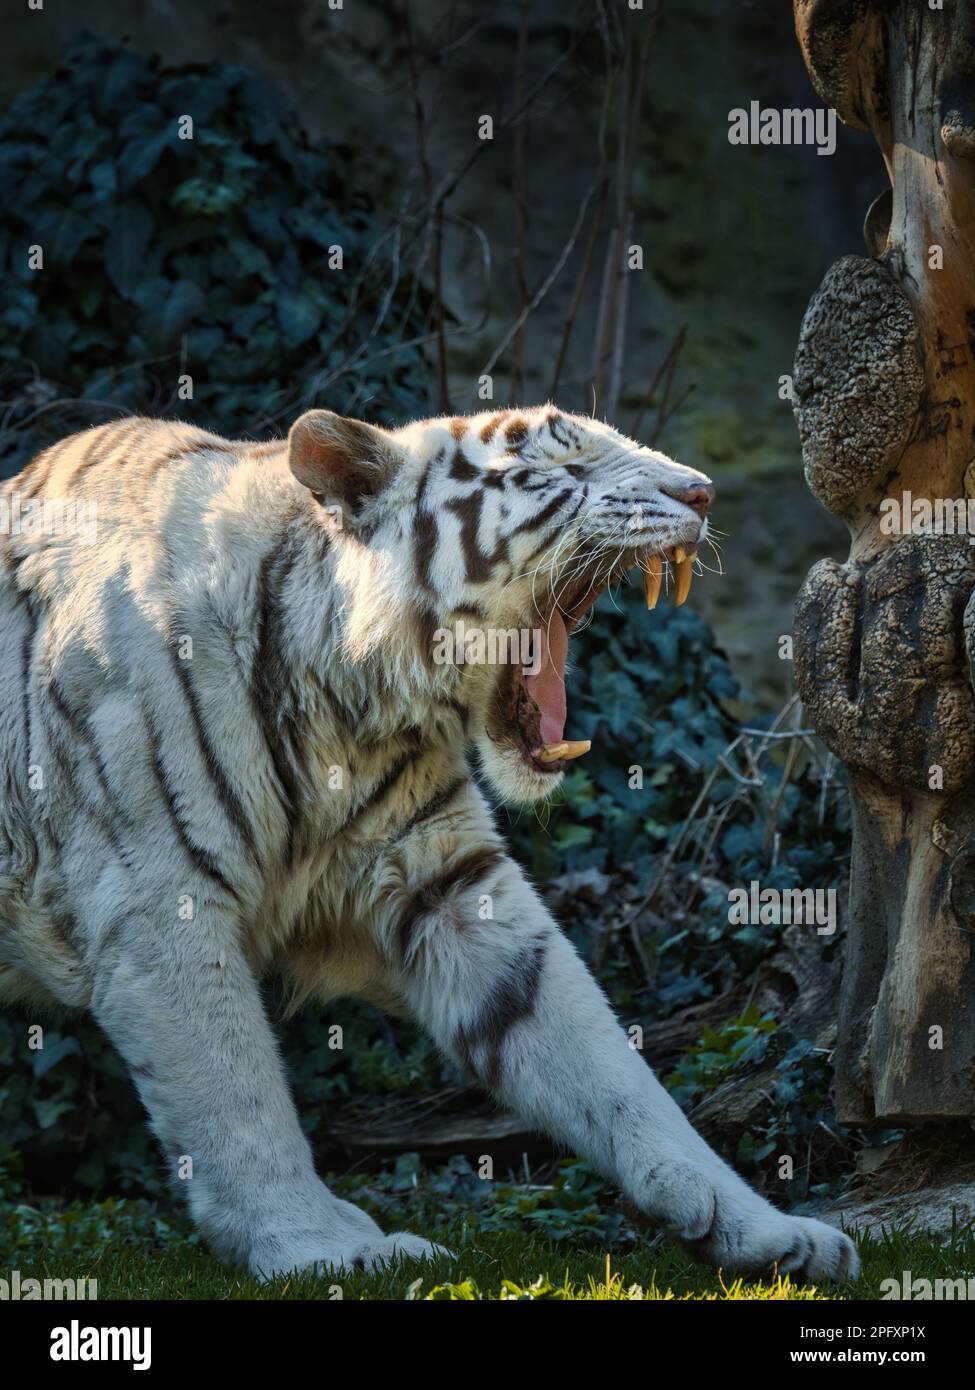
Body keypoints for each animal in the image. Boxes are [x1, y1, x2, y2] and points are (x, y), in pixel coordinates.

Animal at [0, 404, 858, 1281]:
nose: (702, 492)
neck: (350, 706)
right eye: (558, 469)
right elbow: (236, 1098)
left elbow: (607, 1067)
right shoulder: (160, 905)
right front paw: (319, 1247)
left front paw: (761, 1227)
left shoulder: (449, 885)